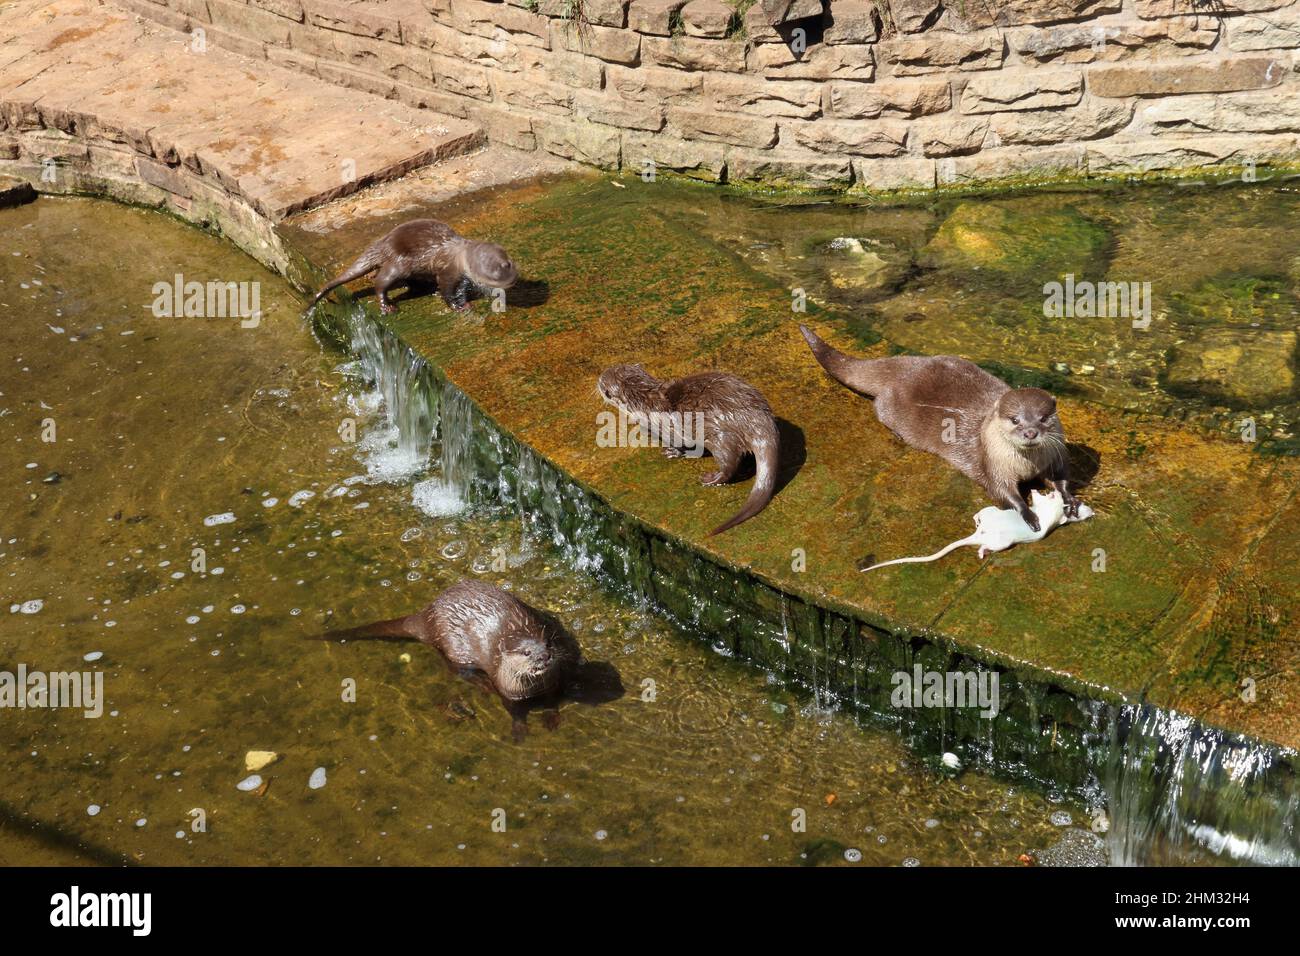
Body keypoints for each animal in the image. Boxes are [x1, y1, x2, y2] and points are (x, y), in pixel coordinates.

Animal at [306, 219, 518, 315]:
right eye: (493, 275)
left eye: (510, 265)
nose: (512, 281)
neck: (460, 257)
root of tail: (383, 243)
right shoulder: (447, 272)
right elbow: (447, 291)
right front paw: (459, 306)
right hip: (398, 265)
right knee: (381, 282)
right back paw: (387, 305)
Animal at [313, 580, 579, 739]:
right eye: (526, 653)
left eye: (548, 644)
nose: (544, 656)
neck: (532, 691)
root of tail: (427, 617)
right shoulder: (508, 693)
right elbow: (514, 713)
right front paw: (519, 731)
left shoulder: (553, 685)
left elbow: (553, 702)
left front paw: (551, 719)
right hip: (452, 646)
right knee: (455, 669)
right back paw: (482, 683)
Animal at [597, 364, 780, 536]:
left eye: (602, 384)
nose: (598, 377)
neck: (646, 404)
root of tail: (757, 419)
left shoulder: (670, 428)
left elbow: (684, 443)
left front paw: (673, 451)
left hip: (721, 437)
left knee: (729, 462)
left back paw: (711, 479)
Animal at [799, 325, 1078, 532]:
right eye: (1015, 420)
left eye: (1043, 418)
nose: (1030, 432)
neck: (1026, 466)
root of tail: (908, 366)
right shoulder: (993, 464)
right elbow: (1002, 491)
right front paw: (1028, 514)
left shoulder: (1054, 457)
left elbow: (1060, 477)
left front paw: (1070, 499)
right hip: (894, 406)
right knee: (878, 407)